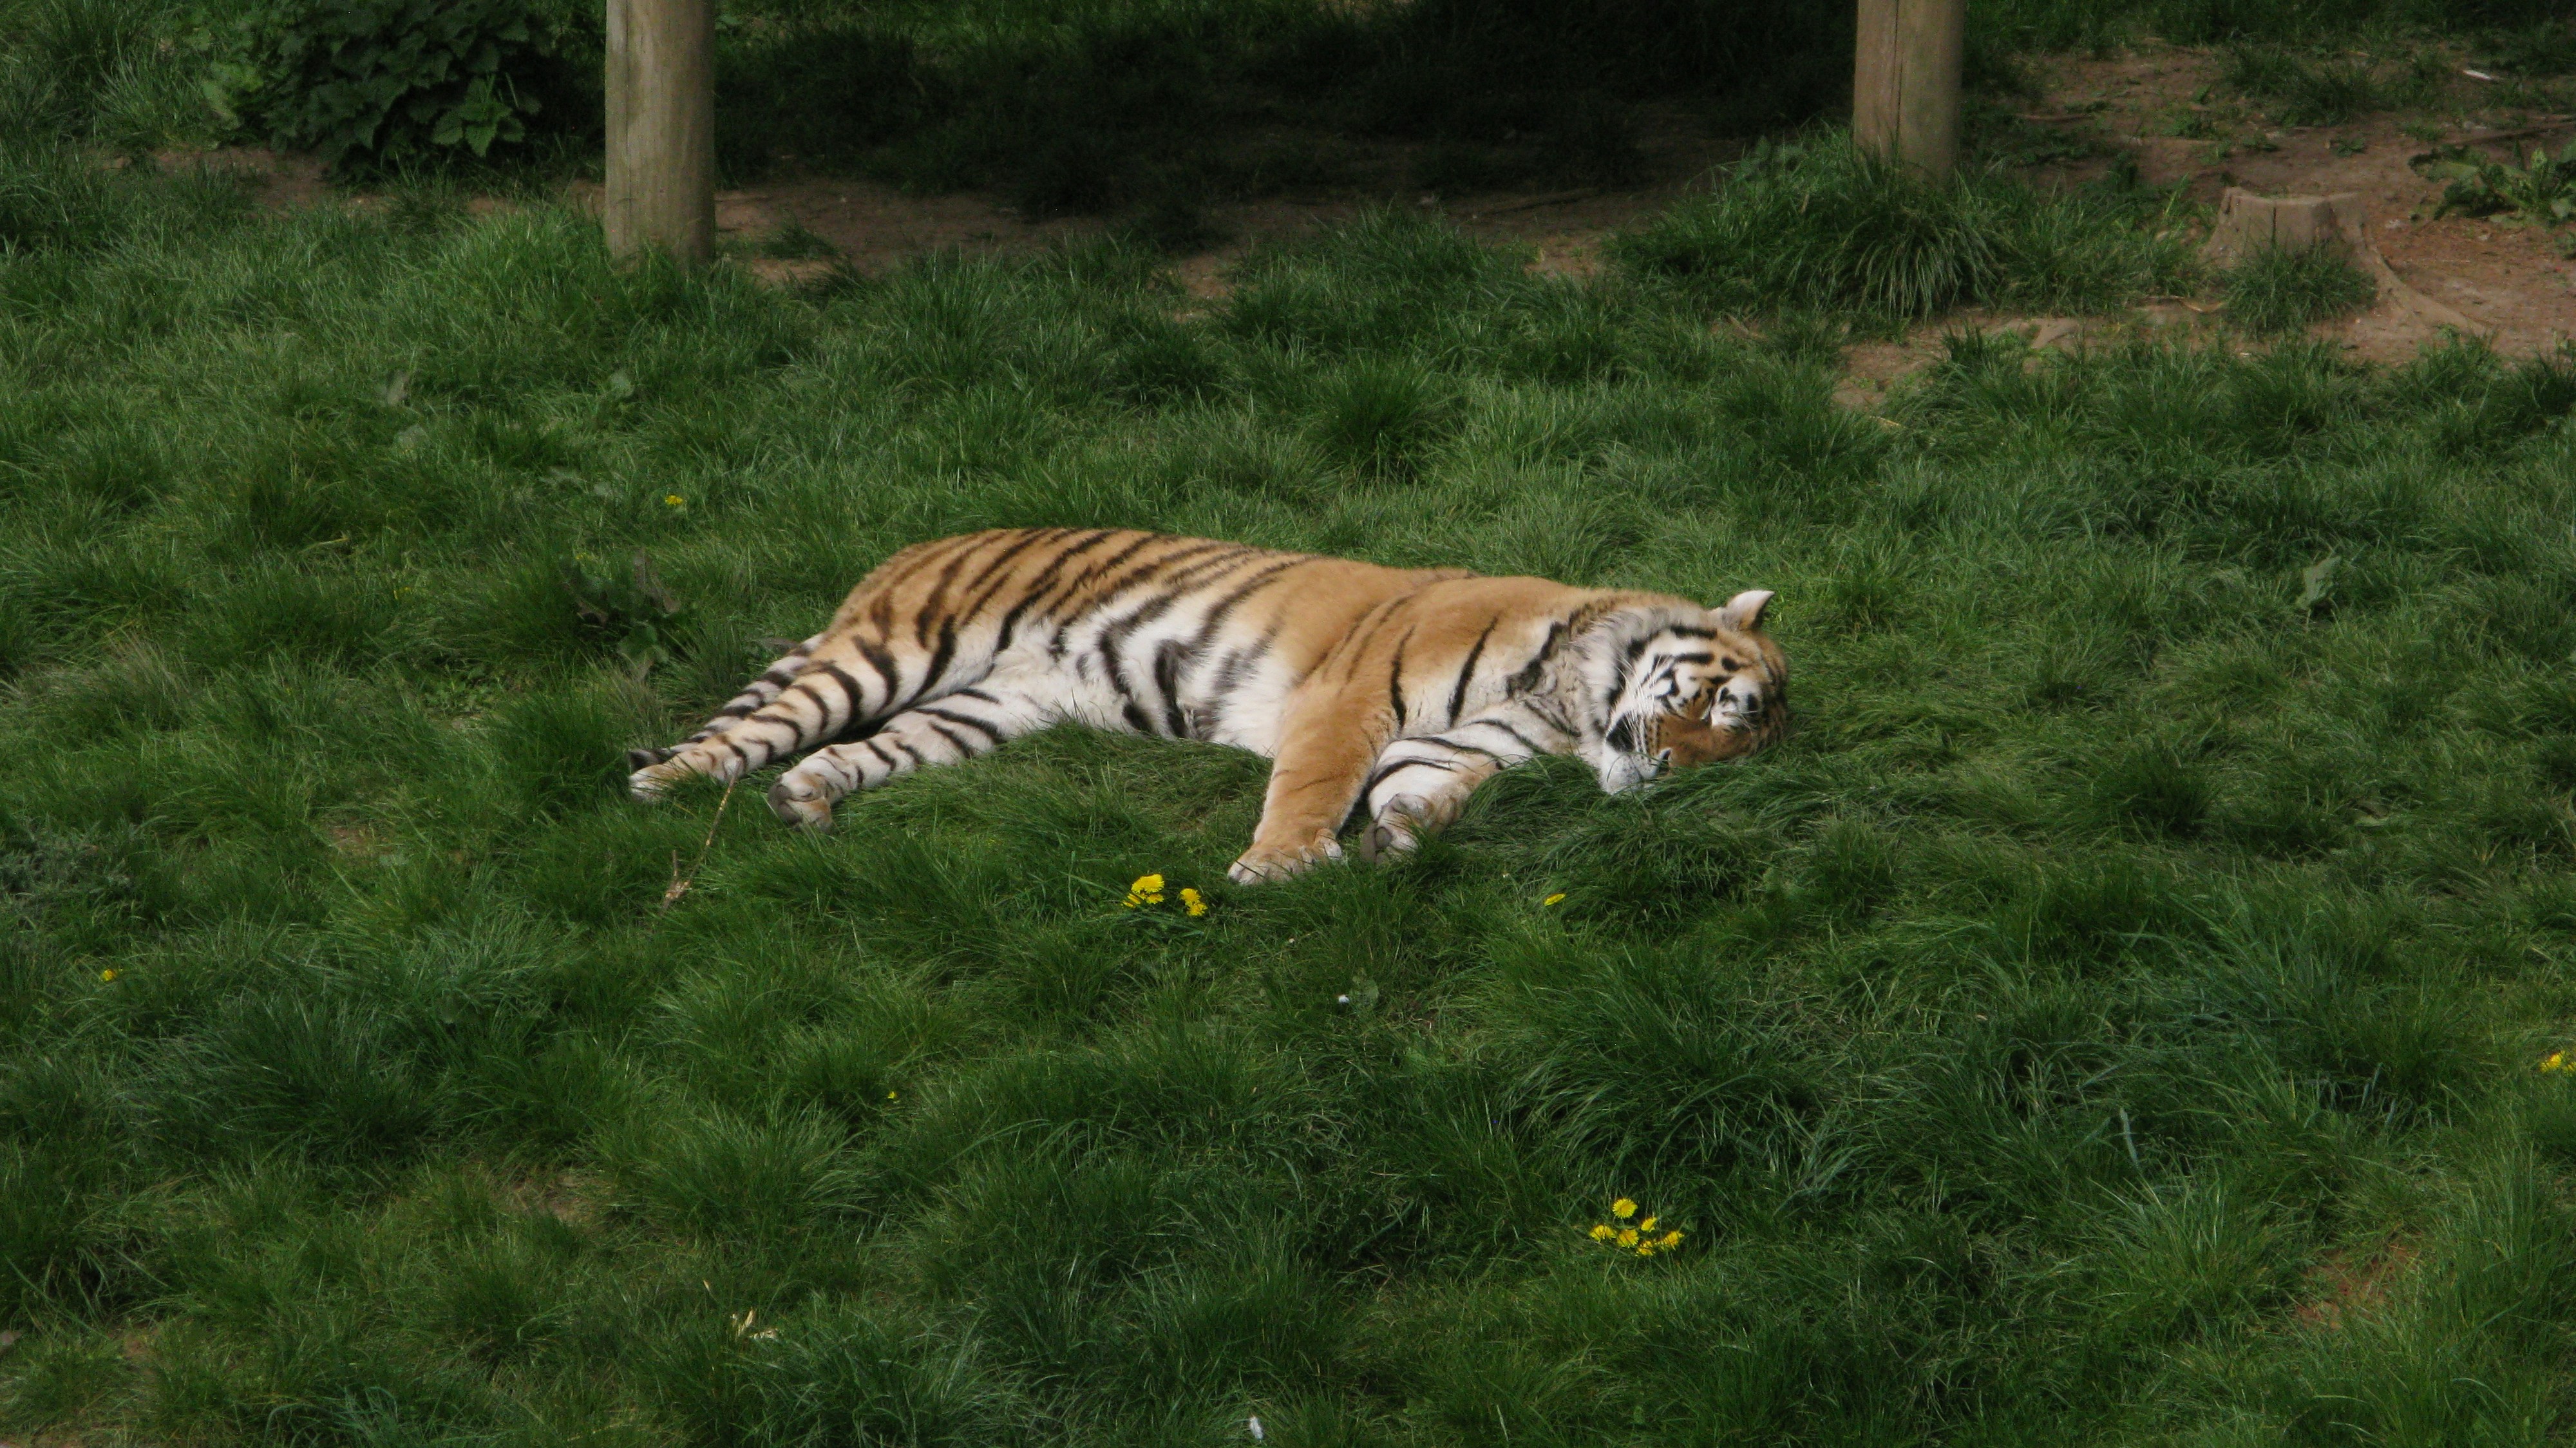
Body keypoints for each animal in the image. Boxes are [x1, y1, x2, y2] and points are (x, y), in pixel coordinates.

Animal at [627, 528, 1787, 884]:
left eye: (1730, 756)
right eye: (1715, 704)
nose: (1664, 769)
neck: (1569, 703)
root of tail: (909, 548)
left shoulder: (1470, 742)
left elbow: (1424, 784)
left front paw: (1405, 834)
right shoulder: (1347, 698)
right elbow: (1314, 784)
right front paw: (1281, 866)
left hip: (980, 712)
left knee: (831, 757)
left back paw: (809, 802)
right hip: (888, 655)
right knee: (752, 732)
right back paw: (662, 783)